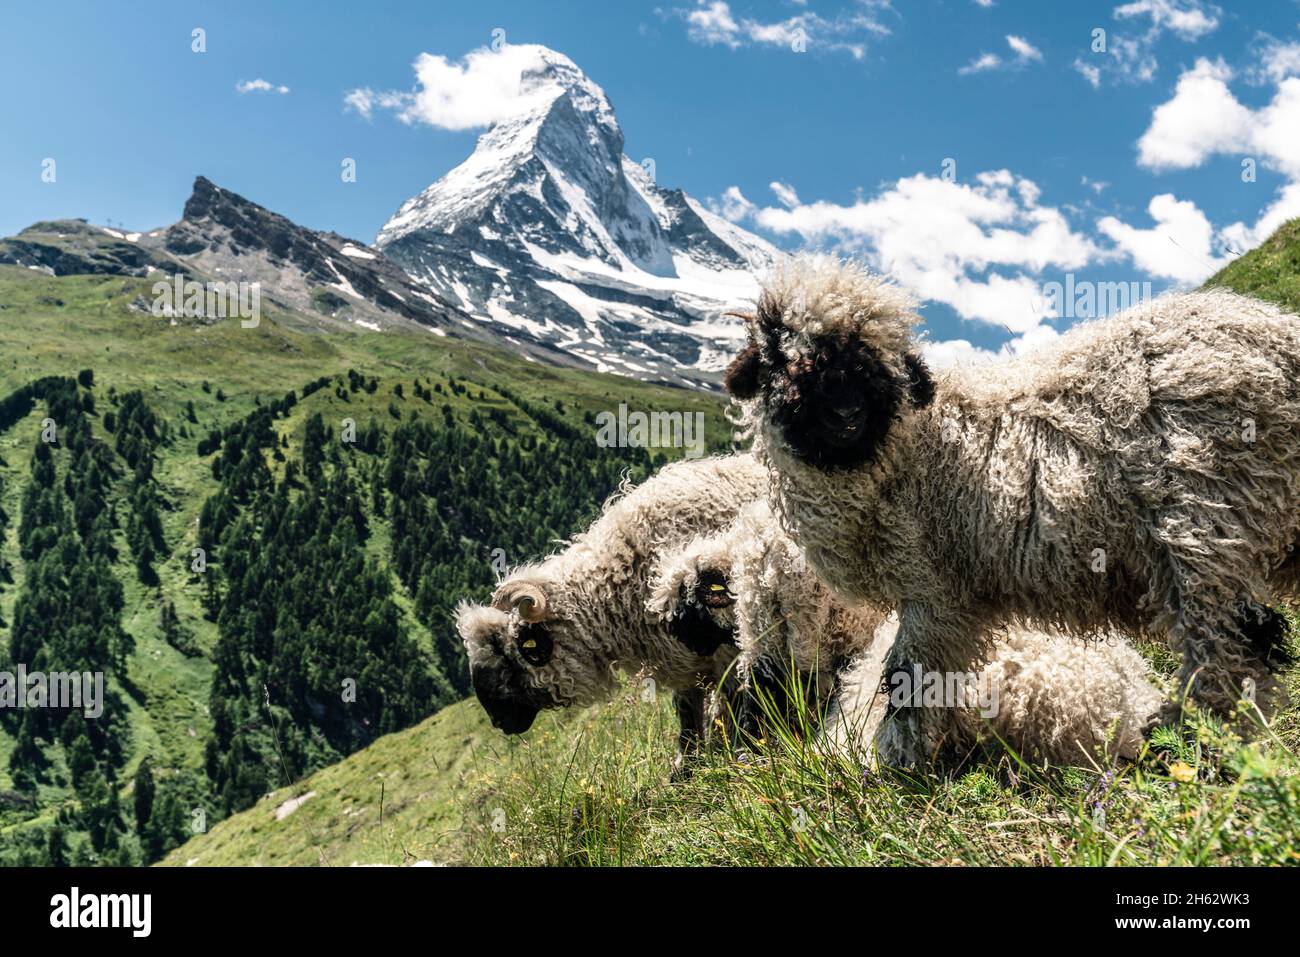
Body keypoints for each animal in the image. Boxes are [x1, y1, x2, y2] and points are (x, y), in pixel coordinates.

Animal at [456, 453, 768, 767]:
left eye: (506, 657)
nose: (498, 721)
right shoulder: (682, 663)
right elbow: (688, 717)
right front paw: (687, 767)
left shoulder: (725, 647)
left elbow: (732, 700)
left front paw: (741, 748)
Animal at [724, 256, 1300, 766]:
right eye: (787, 357)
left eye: (876, 361)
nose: (847, 413)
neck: (905, 451)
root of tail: (1279, 337)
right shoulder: (949, 602)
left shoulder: (933, 591)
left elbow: (908, 679)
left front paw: (893, 761)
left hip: (1204, 525)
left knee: (1227, 649)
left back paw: (1192, 747)